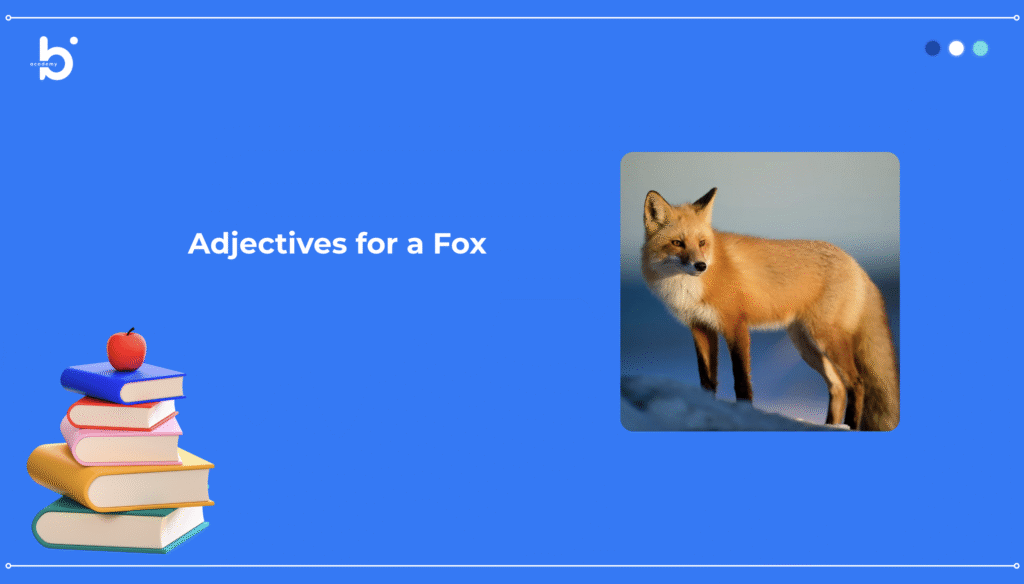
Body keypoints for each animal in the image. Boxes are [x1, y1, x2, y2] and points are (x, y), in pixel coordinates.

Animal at [641, 188, 899, 431]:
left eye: (702, 243)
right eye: (677, 243)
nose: (700, 265)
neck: (689, 287)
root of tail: (856, 264)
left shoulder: (735, 325)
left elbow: (741, 381)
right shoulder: (700, 328)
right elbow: (707, 381)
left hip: (827, 339)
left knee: (857, 383)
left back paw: (850, 426)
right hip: (806, 346)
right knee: (837, 387)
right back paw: (831, 426)